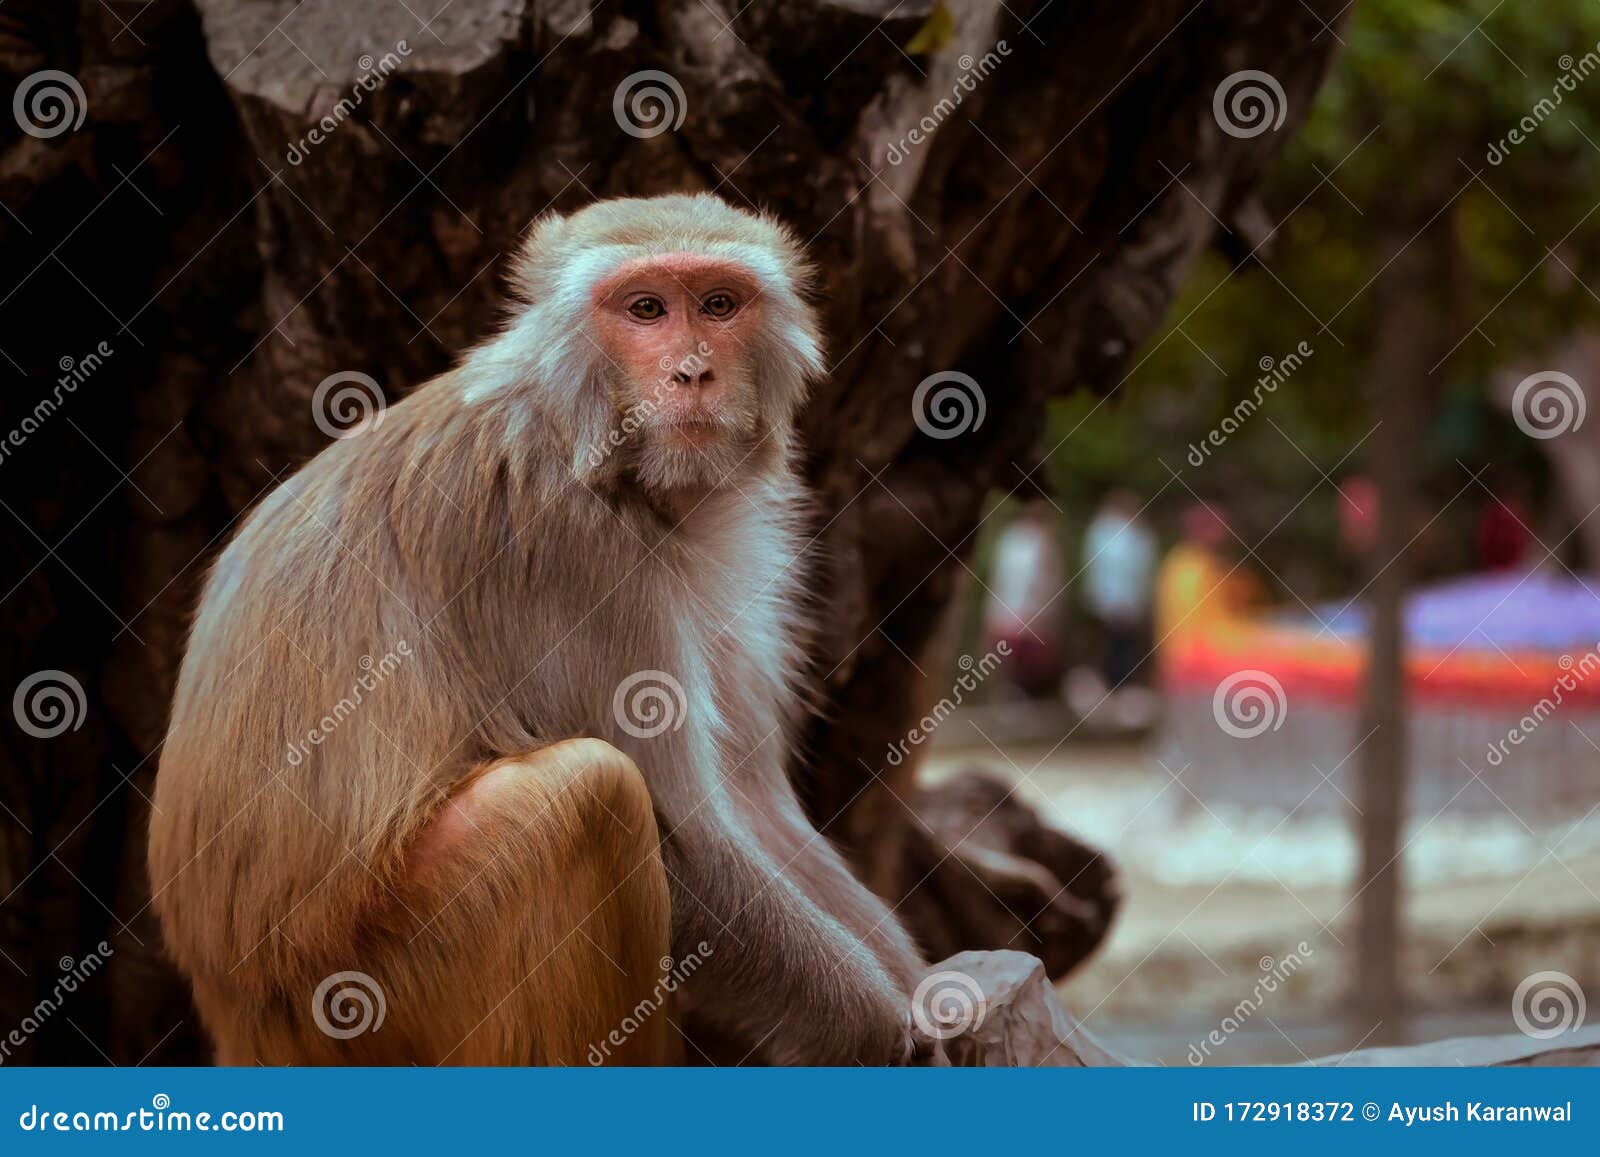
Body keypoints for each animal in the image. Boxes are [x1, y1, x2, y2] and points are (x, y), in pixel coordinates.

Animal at [148, 193, 928, 1066]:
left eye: (720, 304)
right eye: (646, 309)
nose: (694, 371)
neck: (598, 452)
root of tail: (235, 1010)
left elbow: (756, 805)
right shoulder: (568, 547)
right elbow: (687, 845)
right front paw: (874, 1028)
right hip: (370, 981)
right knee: (587, 796)